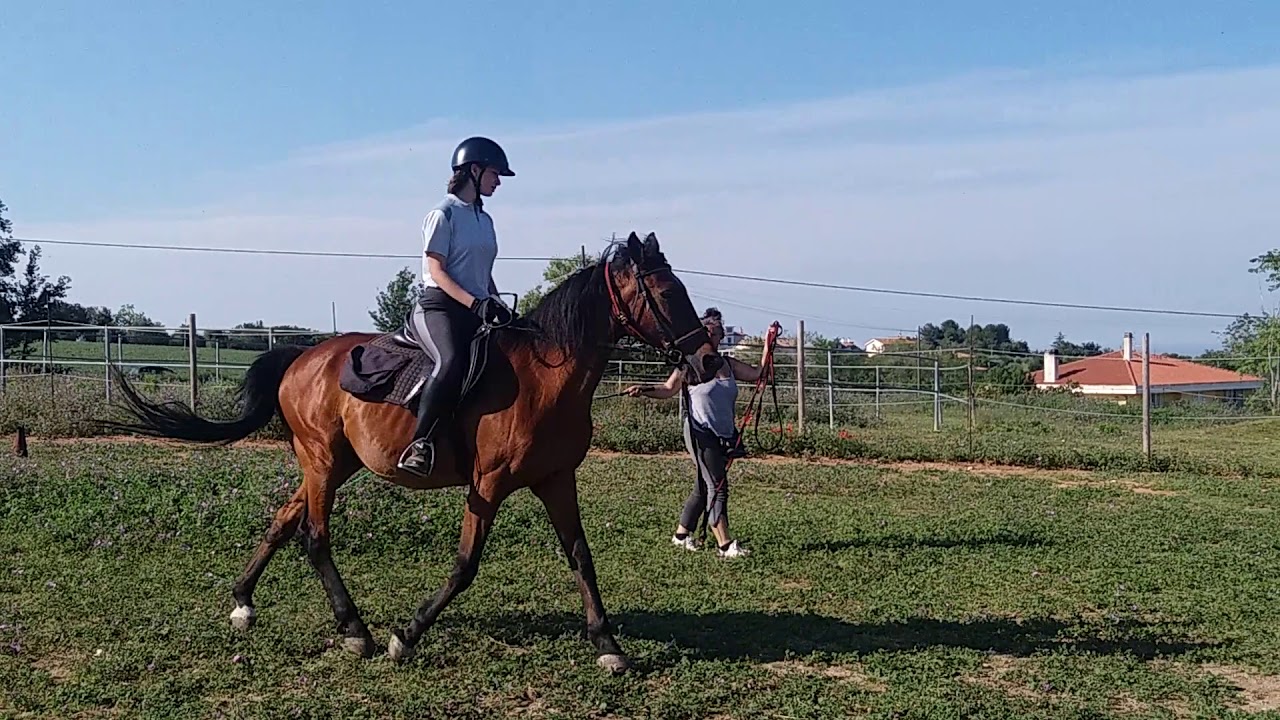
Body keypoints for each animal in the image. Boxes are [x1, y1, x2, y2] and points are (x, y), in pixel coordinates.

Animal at [101, 231, 722, 674]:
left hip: (333, 464)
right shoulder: (488, 485)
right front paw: (407, 635)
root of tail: (302, 356)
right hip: (323, 460)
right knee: (314, 537)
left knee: (282, 521)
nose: (708, 360)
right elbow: (466, 564)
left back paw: (243, 602)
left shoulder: (556, 480)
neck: (547, 379)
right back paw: (356, 631)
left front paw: (608, 644)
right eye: (668, 294)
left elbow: (581, 558)